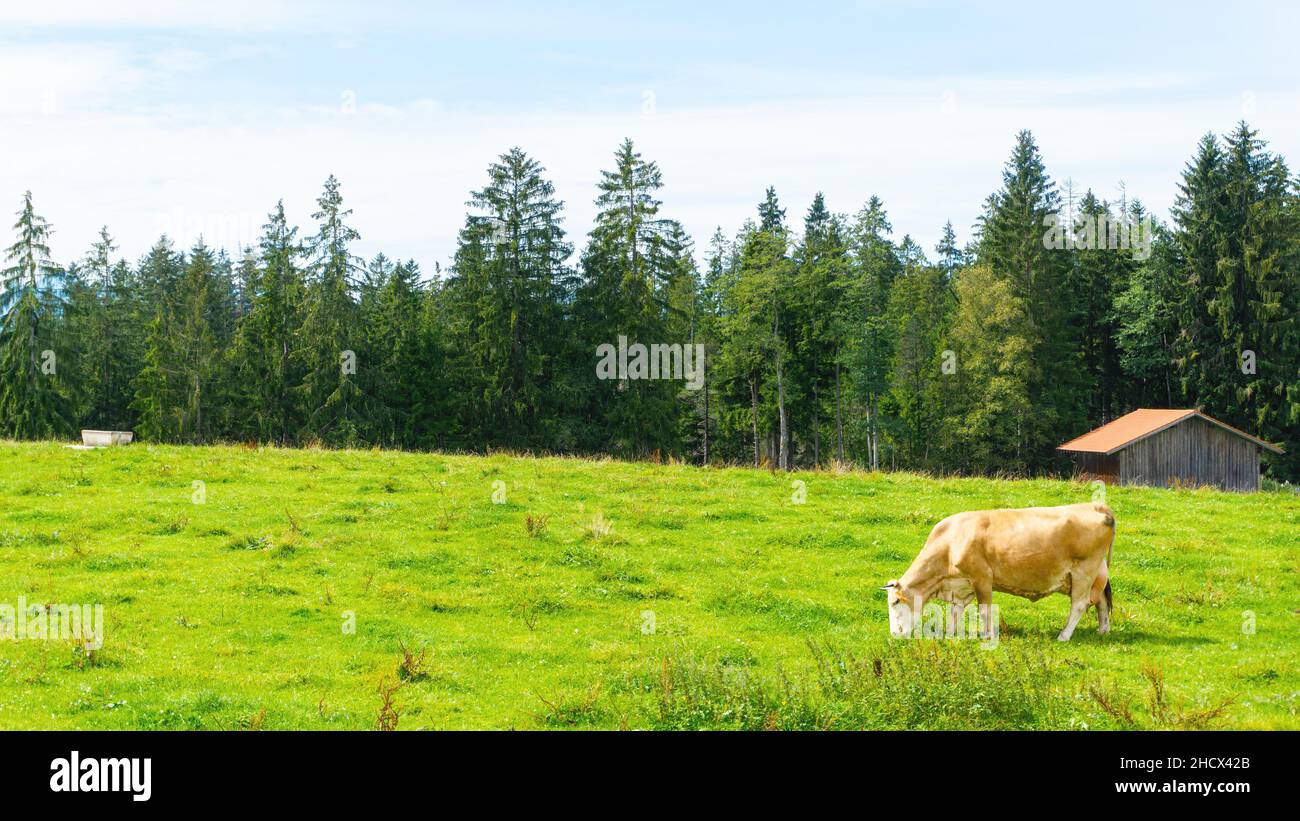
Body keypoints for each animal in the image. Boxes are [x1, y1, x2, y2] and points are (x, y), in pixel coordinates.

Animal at [883, 502, 1115, 642]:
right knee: (1102, 601)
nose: (894, 634)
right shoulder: (961, 587)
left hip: (1083, 573)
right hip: (1094, 575)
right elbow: (955, 612)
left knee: (1079, 605)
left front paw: (987, 635)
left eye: (895, 601)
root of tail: (1096, 506)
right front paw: (949, 633)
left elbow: (984, 609)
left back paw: (1064, 635)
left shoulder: (982, 578)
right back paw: (1103, 630)